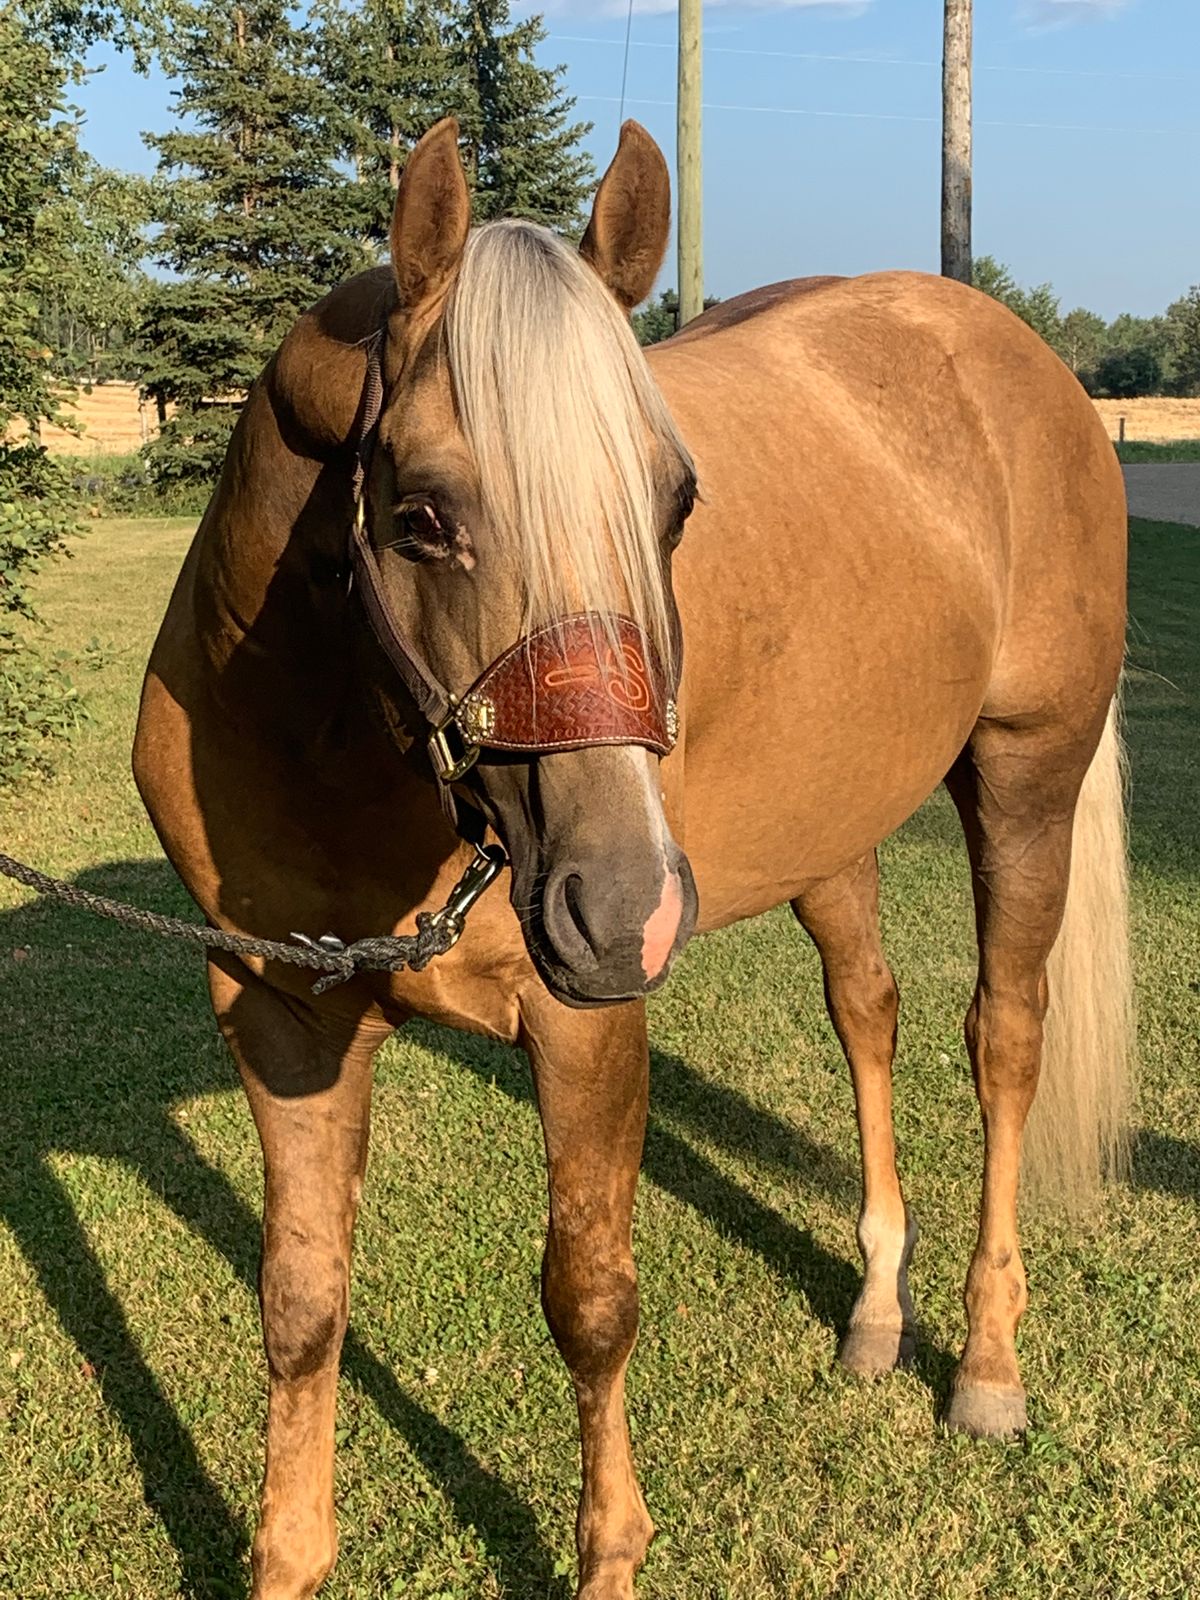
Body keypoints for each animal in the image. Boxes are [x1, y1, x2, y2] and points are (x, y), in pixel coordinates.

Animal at [133, 118, 1132, 1600]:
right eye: (421, 516)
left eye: (675, 502)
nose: (622, 911)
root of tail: (1014, 357)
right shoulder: (280, 1017)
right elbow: (302, 1305)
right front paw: (289, 1556)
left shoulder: (585, 1024)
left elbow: (591, 1300)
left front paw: (610, 1550)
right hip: (834, 827)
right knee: (869, 1013)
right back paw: (877, 1312)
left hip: (1025, 775)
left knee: (1004, 1036)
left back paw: (988, 1366)